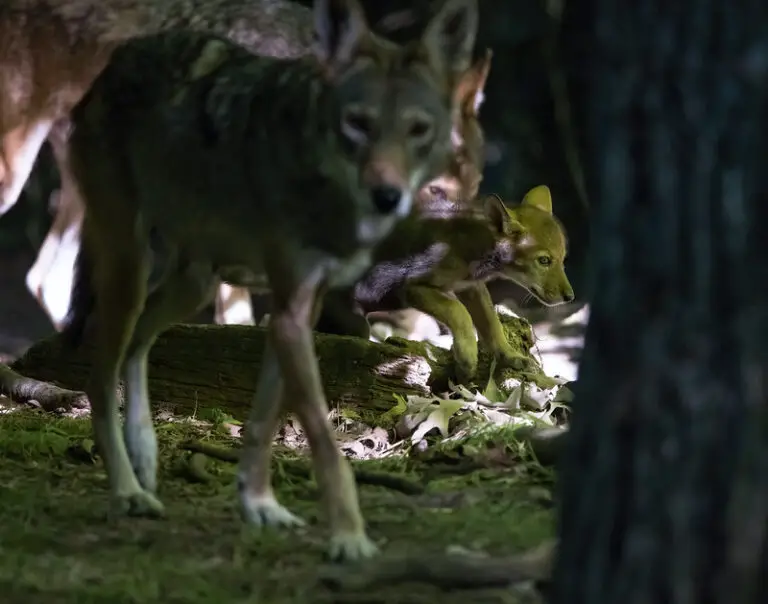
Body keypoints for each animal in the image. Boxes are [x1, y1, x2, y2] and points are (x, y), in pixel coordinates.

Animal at [63, 0, 479, 562]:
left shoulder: (296, 310)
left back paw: (145, 455)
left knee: (138, 348)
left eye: (418, 130)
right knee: (99, 377)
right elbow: (325, 440)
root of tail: (113, 64)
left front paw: (259, 505)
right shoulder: (289, 316)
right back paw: (128, 490)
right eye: (357, 124)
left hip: (193, 285)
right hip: (131, 269)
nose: (387, 195)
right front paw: (349, 537)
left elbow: (261, 424)